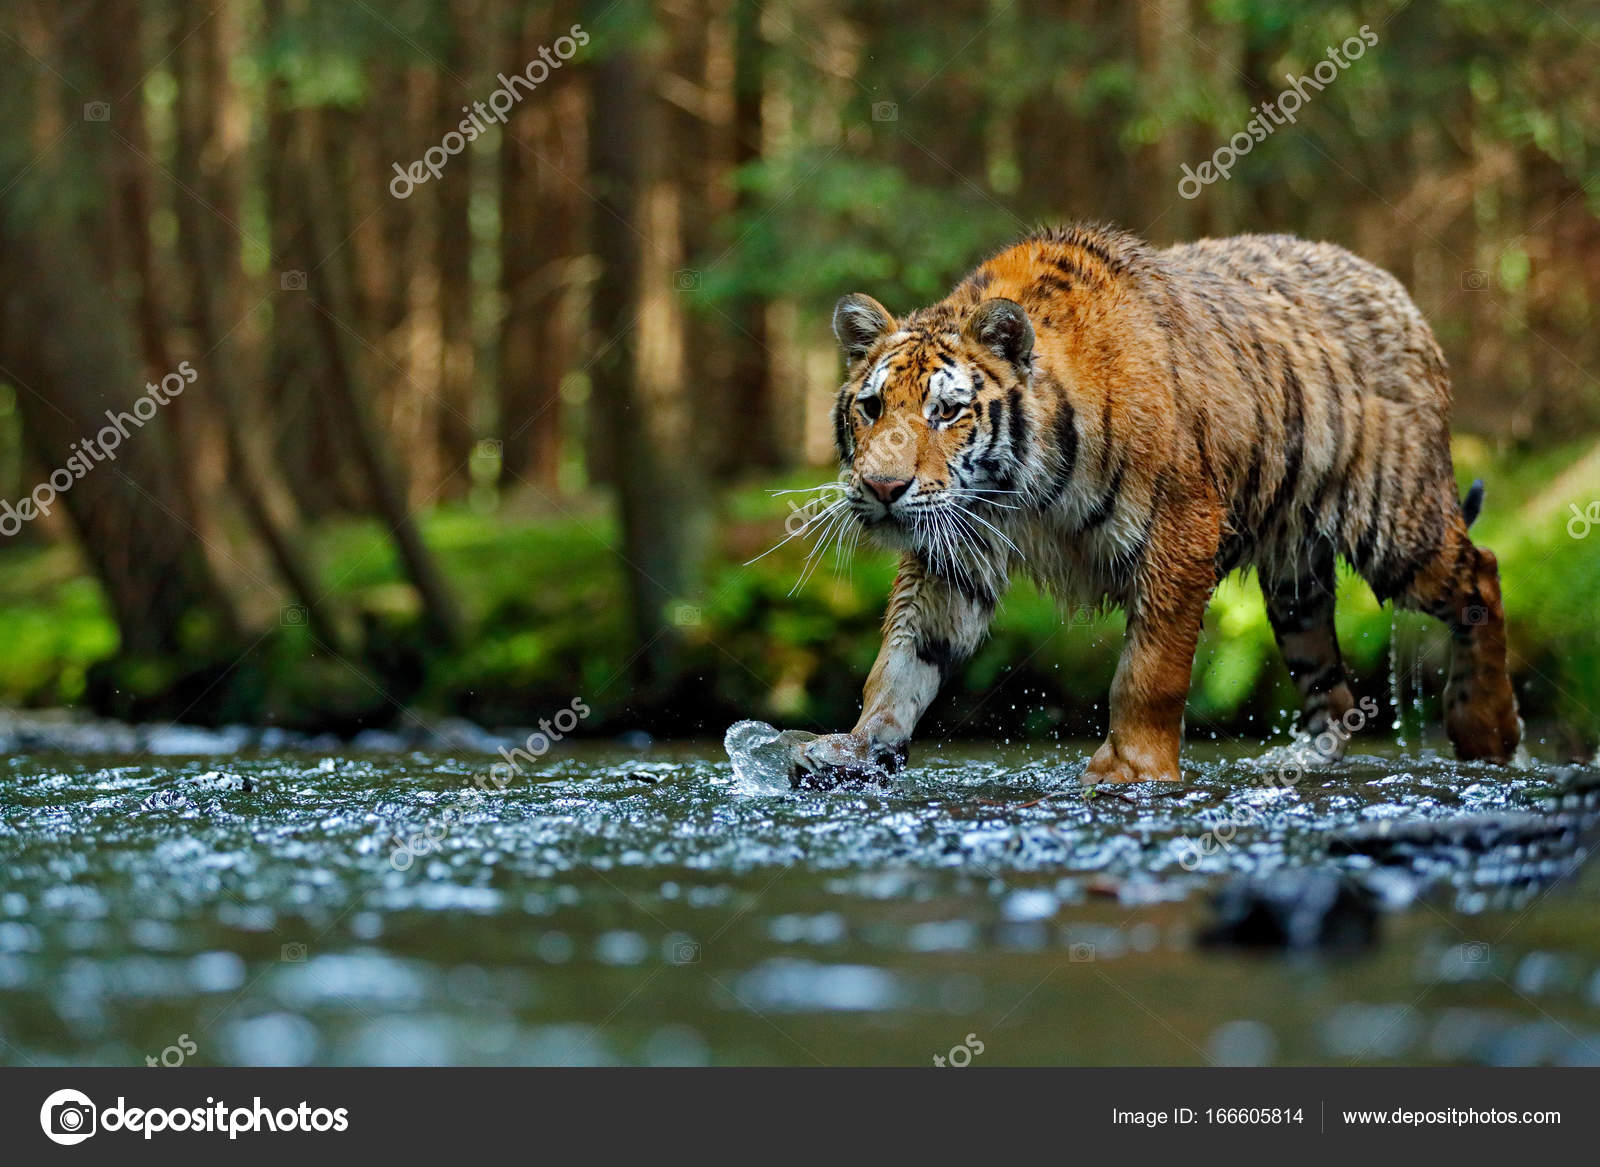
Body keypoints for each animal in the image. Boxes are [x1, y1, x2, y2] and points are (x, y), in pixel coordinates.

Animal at [794, 222, 1520, 786]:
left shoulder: (1181, 528)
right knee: (1333, 686)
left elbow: (1150, 669)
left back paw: (1486, 731)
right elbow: (902, 660)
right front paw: (856, 748)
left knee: (1482, 569)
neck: (1019, 493)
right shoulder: (958, 548)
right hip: (1295, 580)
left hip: (1394, 523)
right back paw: (1296, 761)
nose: (883, 488)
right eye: (871, 407)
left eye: (946, 412)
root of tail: (1398, 293)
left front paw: (1133, 769)